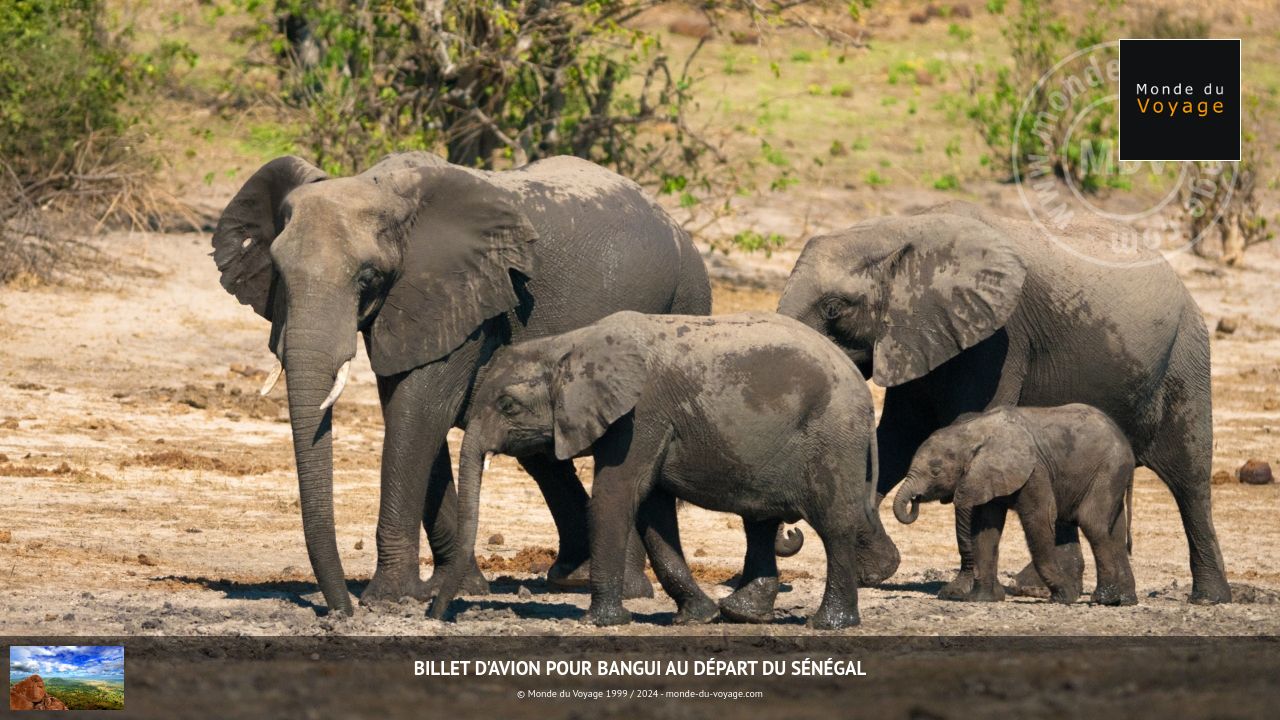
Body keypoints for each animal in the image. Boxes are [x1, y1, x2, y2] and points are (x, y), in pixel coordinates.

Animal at [209, 149, 711, 609]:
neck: (382, 189)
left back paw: (626, 589)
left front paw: (387, 599)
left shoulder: (462, 296)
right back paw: (572, 578)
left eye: (367, 277)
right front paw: (456, 588)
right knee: (543, 455)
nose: (341, 610)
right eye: (278, 273)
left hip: (684, 298)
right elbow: (408, 413)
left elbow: (417, 412)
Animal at [424, 311, 896, 625]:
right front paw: (697, 618)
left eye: (508, 405)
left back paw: (828, 623)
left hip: (832, 435)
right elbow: (653, 513)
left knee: (834, 524)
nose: (438, 614)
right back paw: (741, 614)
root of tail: (859, 381)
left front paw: (599, 622)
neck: (568, 344)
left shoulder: (641, 414)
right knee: (760, 521)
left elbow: (616, 497)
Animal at [890, 407, 1141, 602]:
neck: (974, 432)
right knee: (1115, 531)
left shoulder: (1035, 470)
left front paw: (1064, 597)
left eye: (935, 471)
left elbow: (1038, 520)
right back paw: (1124, 600)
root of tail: (1127, 446)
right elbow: (985, 529)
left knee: (1093, 524)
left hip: (1108, 469)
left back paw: (1104, 599)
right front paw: (983, 599)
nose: (915, 500)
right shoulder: (985, 475)